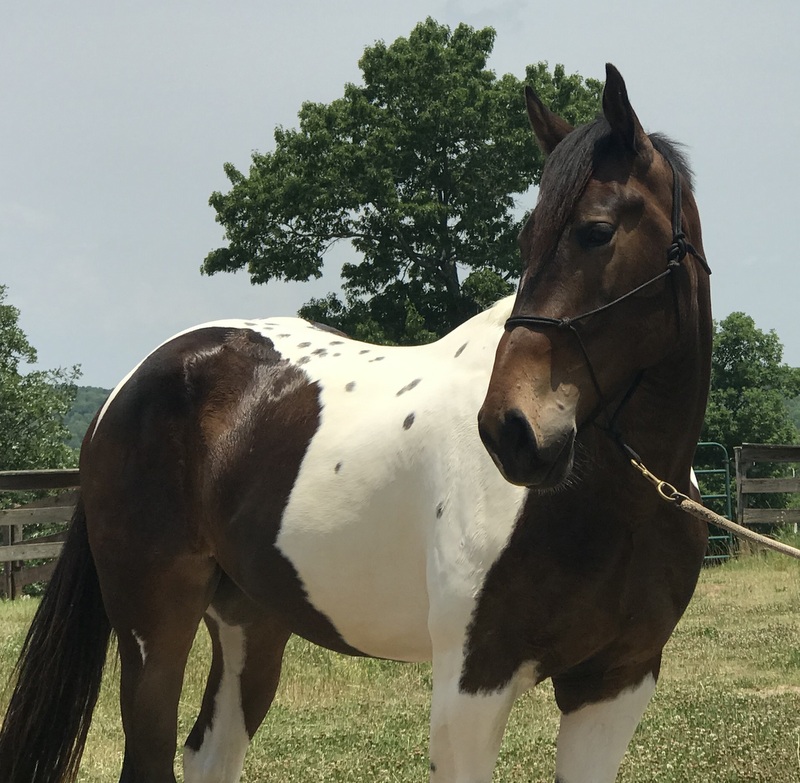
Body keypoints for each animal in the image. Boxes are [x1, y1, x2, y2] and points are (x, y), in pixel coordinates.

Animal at [0, 63, 712, 783]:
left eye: (597, 231)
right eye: (526, 237)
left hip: (249, 617)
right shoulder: (473, 683)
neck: (614, 499)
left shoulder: (616, 682)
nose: (511, 432)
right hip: (154, 628)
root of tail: (126, 390)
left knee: (211, 751)